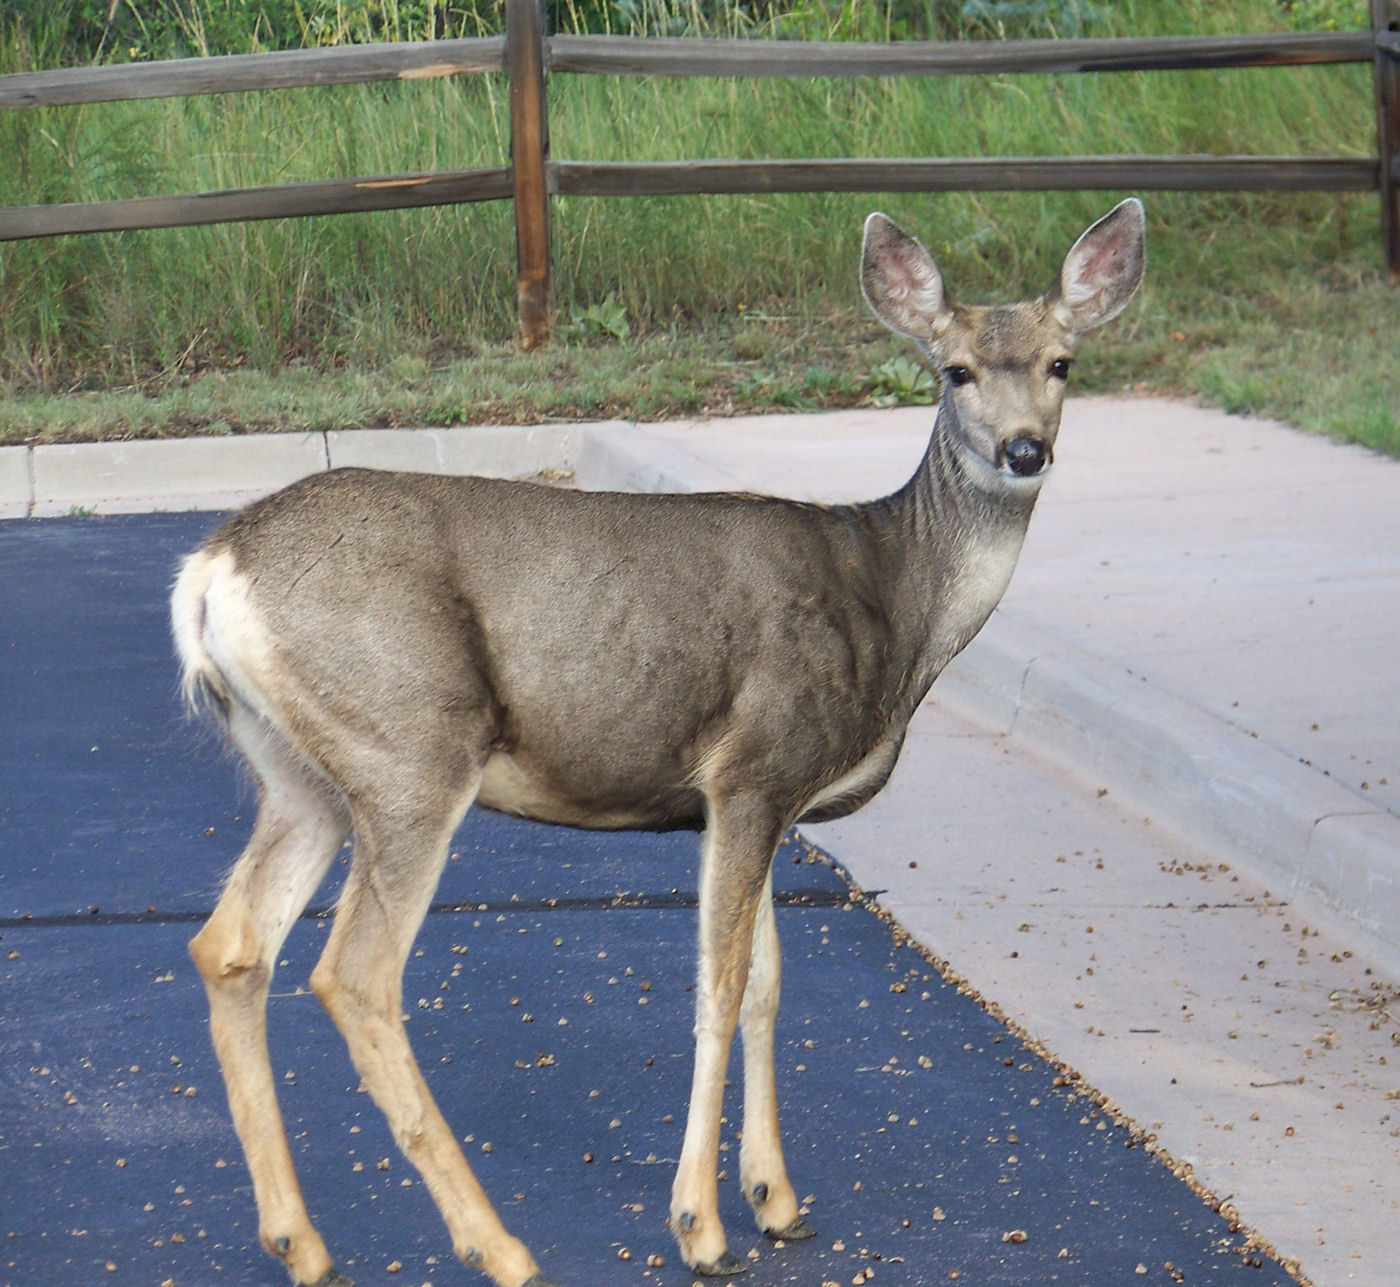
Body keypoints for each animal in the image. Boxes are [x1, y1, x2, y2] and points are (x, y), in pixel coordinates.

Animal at [171, 197, 1144, 1287]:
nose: (1024, 450)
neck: (893, 602)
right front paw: (700, 1227)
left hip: (300, 771)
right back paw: (500, 1246)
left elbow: (765, 983)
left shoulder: (756, 801)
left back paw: (302, 1243)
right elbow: (716, 989)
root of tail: (210, 570)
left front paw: (777, 1201)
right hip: (409, 745)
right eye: (956, 370)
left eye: (1062, 362)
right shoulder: (753, 767)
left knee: (229, 945)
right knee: (354, 975)